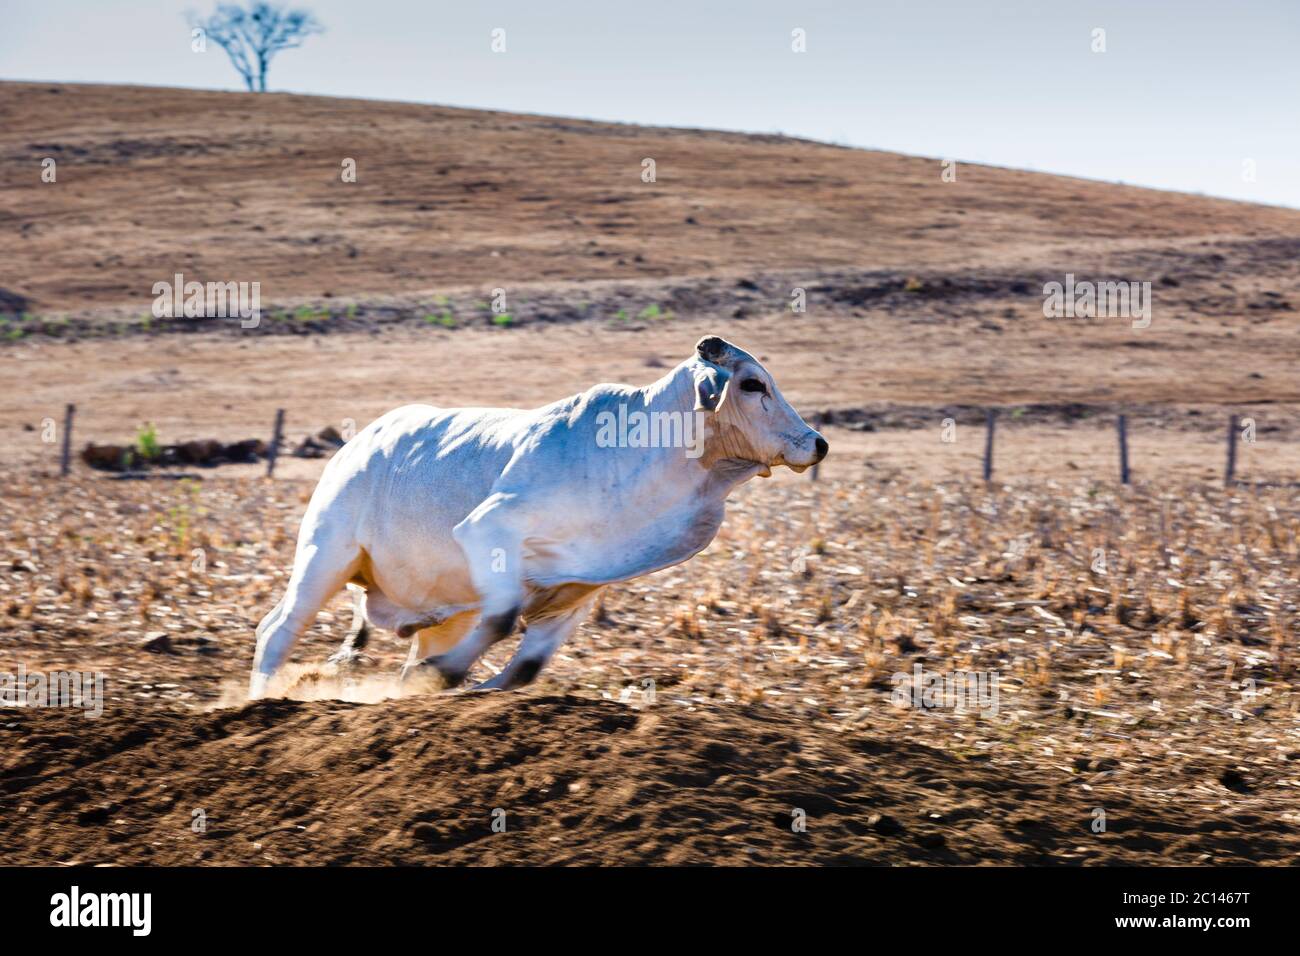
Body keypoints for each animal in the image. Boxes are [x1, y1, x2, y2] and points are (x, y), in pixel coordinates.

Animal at [249, 335, 827, 699]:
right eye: (752, 385)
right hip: (327, 554)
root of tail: (361, 440)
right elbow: (504, 619)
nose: (817, 443)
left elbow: (523, 668)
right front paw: (441, 679)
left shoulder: (577, 589)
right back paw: (260, 699)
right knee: (278, 628)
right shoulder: (489, 531)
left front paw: (446, 688)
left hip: (444, 605)